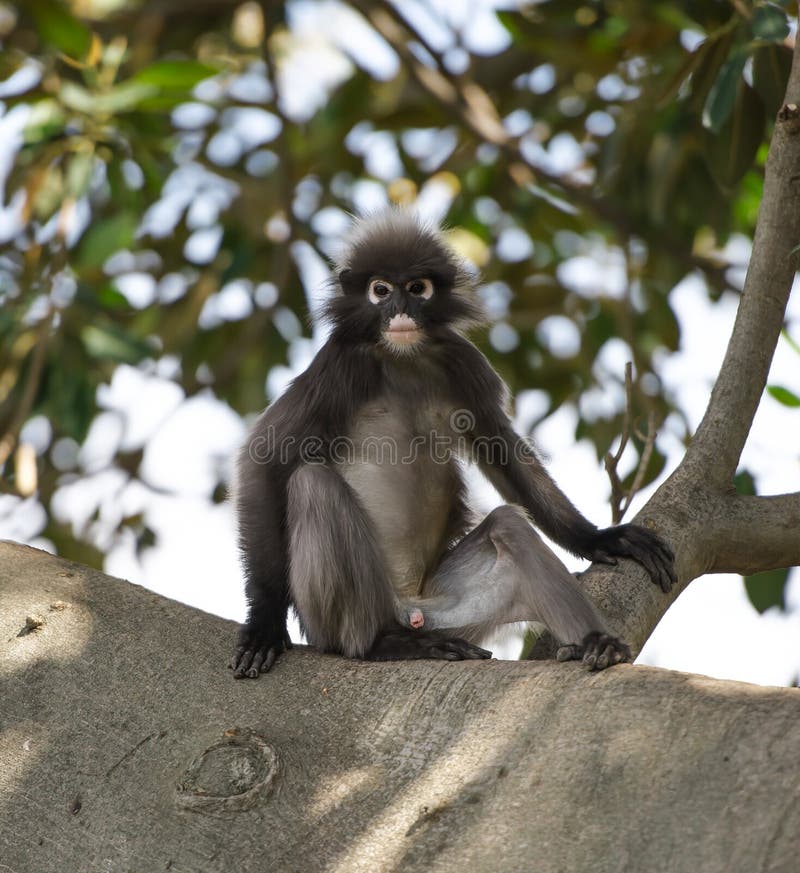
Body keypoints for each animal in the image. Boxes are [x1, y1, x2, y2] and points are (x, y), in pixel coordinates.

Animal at [230, 209, 675, 678]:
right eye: (380, 290)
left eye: (417, 288)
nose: (400, 310)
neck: (403, 358)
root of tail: (409, 609)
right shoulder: (338, 365)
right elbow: (264, 457)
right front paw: (263, 622)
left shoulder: (463, 361)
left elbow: (502, 449)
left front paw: (599, 538)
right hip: (334, 618)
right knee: (313, 483)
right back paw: (382, 644)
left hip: (449, 610)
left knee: (509, 526)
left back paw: (596, 643)